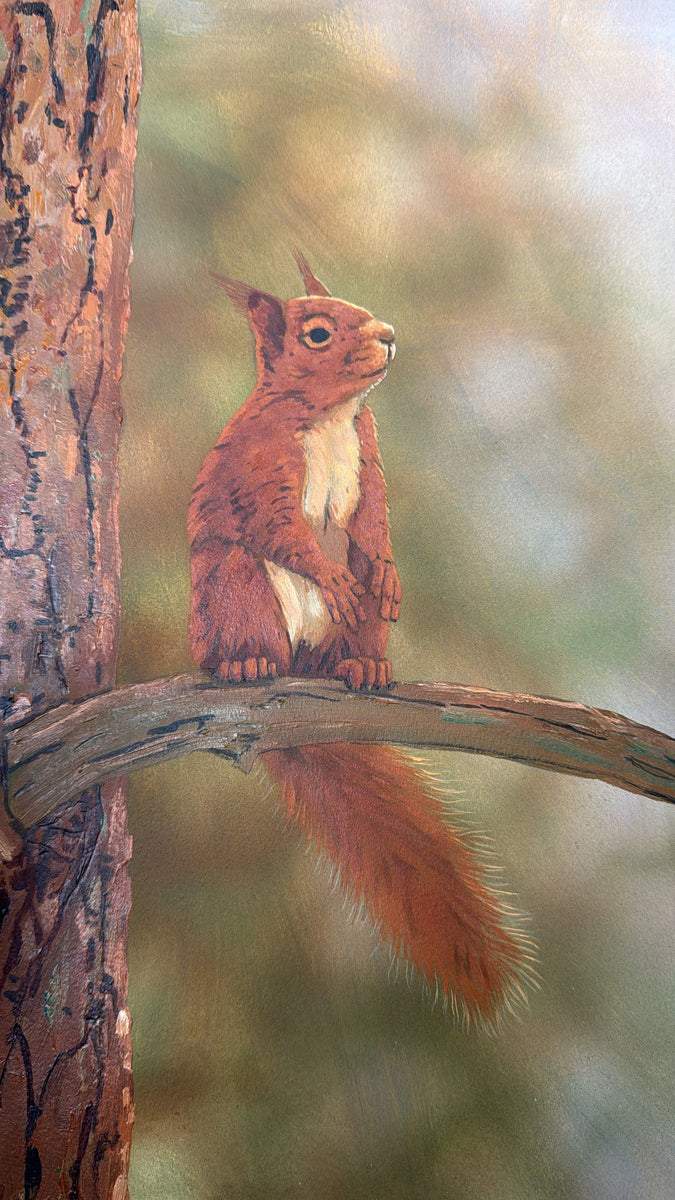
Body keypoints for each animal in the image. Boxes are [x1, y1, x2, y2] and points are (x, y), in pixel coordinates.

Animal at [188, 252, 535, 1027]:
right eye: (317, 332)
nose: (390, 335)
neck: (330, 417)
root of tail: (304, 668)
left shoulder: (369, 455)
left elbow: (374, 519)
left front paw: (389, 570)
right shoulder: (258, 467)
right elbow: (277, 526)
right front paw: (323, 571)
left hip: (355, 628)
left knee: (362, 611)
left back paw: (366, 664)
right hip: (235, 591)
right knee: (249, 611)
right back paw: (249, 663)